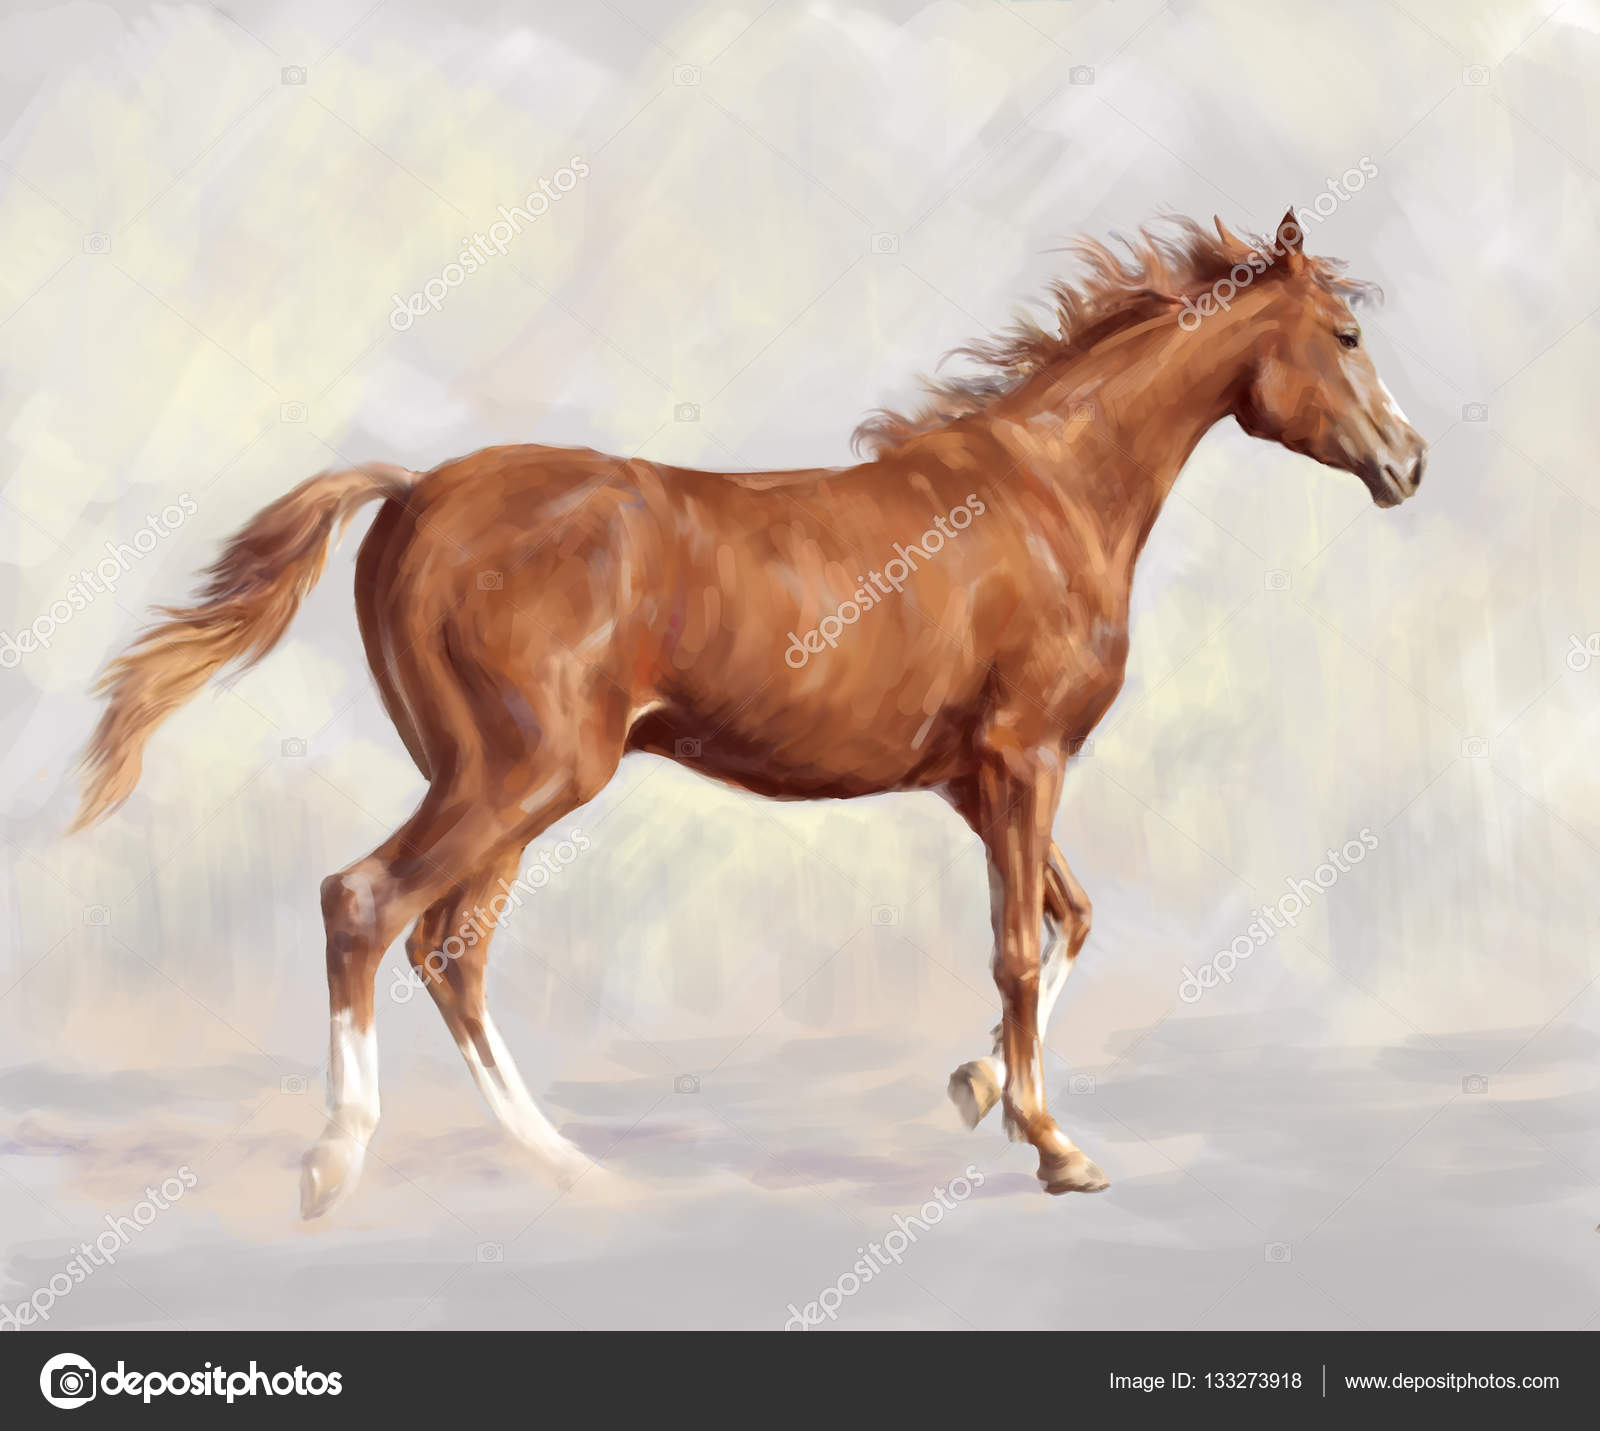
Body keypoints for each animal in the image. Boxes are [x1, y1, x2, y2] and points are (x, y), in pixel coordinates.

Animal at [74, 211, 1427, 1218]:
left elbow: (1067, 925)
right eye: (1347, 332)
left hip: (495, 784)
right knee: (365, 905)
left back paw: (569, 1168)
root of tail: (411, 492)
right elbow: (1019, 947)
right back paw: (335, 1162)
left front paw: (974, 1085)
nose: (1408, 464)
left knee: (448, 950)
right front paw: (1054, 1146)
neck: (1049, 497)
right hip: (523, 776)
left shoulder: (976, 783)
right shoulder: (1025, 761)